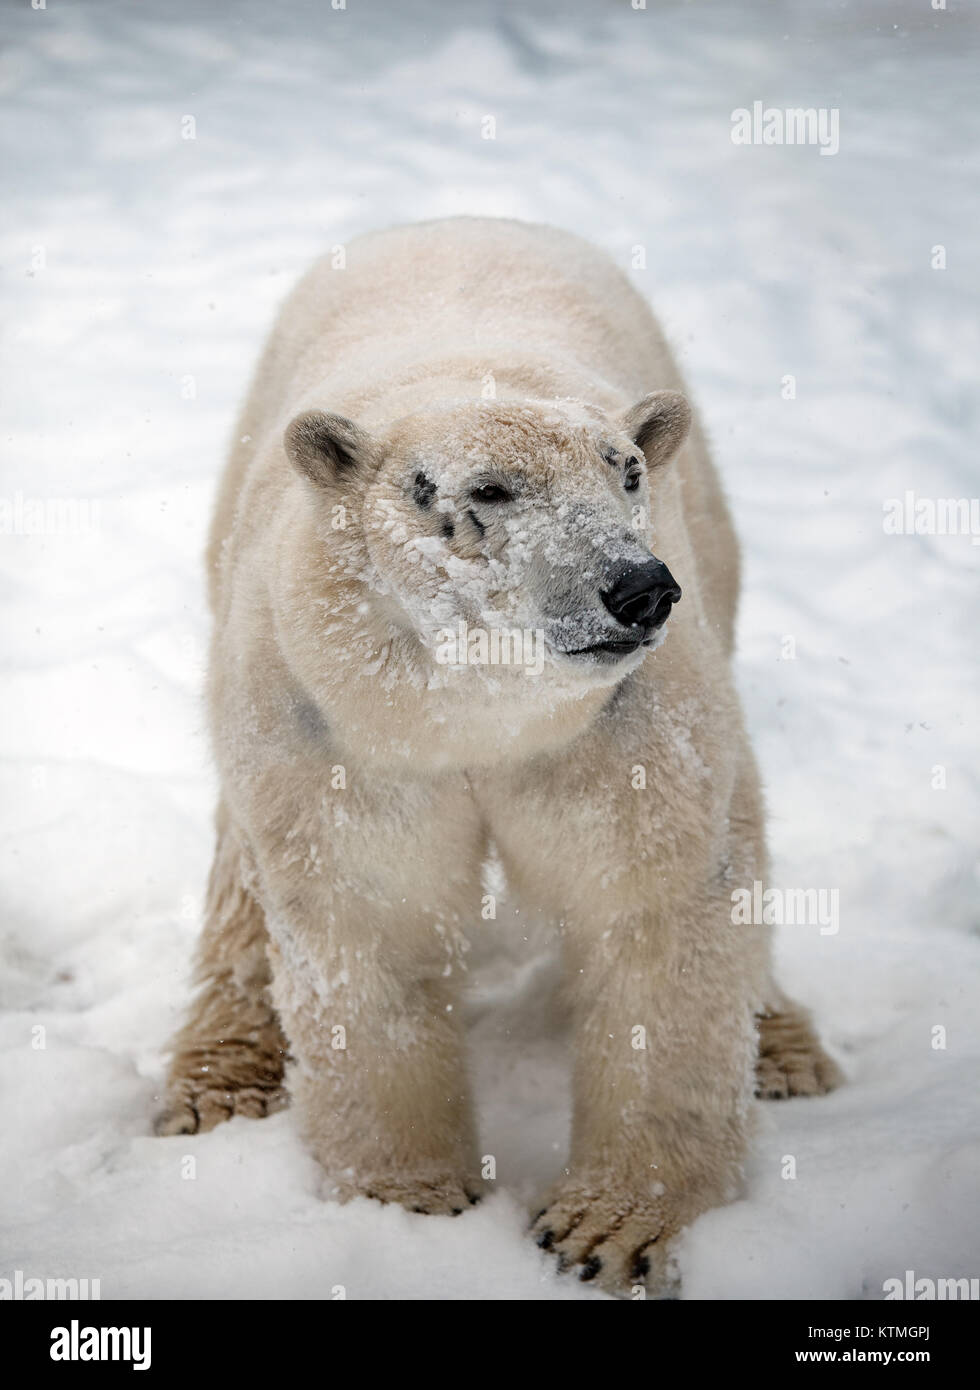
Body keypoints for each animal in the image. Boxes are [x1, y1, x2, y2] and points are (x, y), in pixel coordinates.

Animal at [156, 217, 841, 1296]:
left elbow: (659, 911)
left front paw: (607, 1229)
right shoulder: (343, 727)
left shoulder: (615, 731)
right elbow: (366, 919)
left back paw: (784, 1047)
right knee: (241, 862)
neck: (474, 715)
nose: (638, 588)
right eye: (489, 489)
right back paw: (212, 1082)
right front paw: (413, 1203)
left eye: (625, 471)